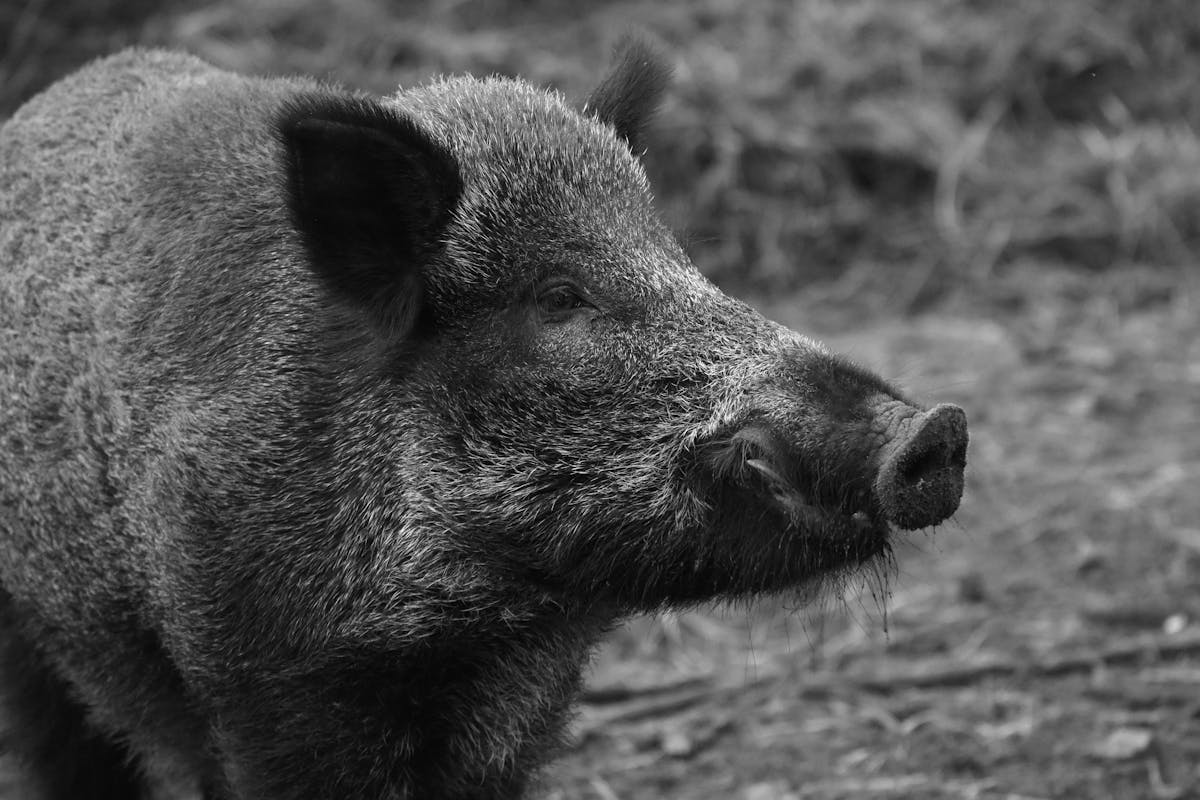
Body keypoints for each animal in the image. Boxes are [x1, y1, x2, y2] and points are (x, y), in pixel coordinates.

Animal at [0, 41, 967, 800]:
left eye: (683, 262)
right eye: (560, 296)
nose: (936, 430)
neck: (467, 623)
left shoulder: (523, 706)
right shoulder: (257, 683)